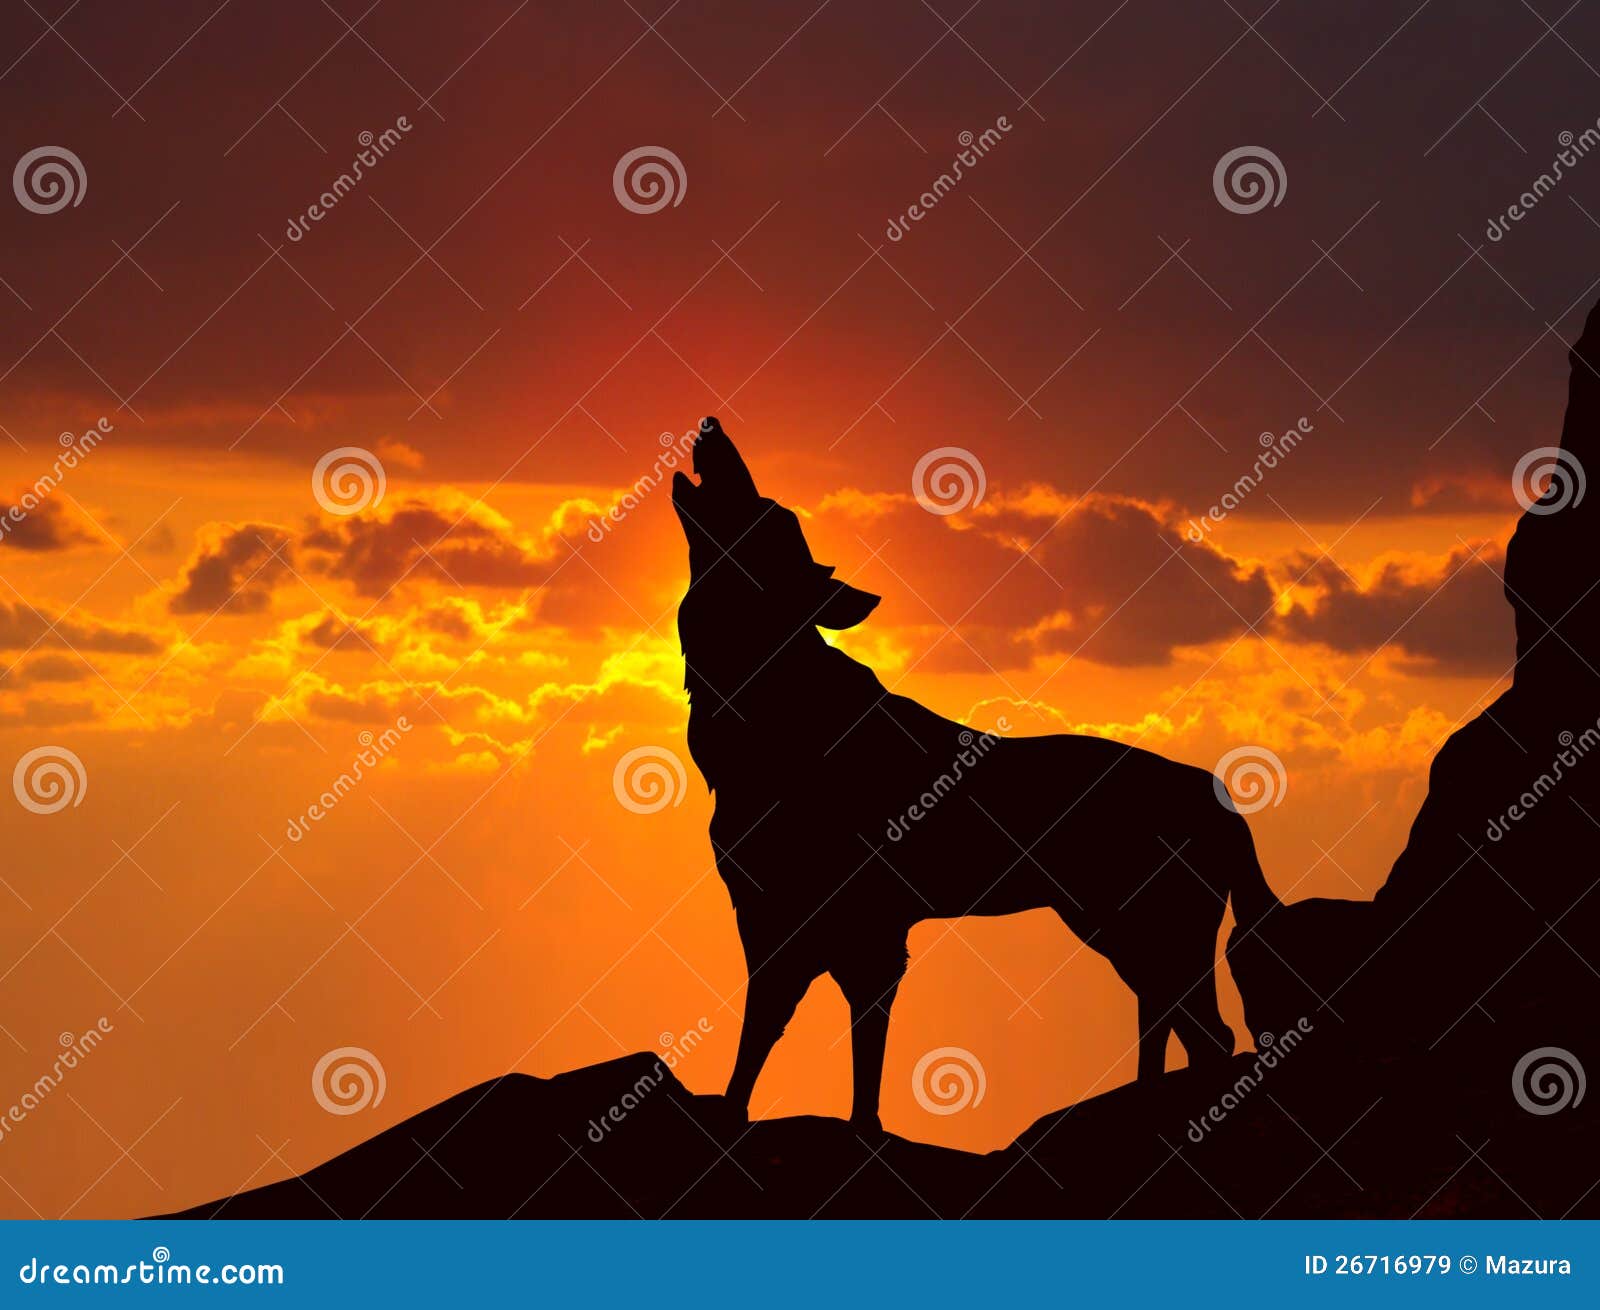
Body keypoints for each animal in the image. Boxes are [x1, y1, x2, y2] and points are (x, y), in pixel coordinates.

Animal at [672, 418, 1279, 1129]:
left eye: (768, 516)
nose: (713, 428)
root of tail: (1223, 802)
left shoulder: (859, 926)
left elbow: (838, 1043)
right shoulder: (775, 915)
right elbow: (770, 1033)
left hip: (1152, 922)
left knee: (1210, 1033)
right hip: (1119, 927)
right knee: (1178, 1023)